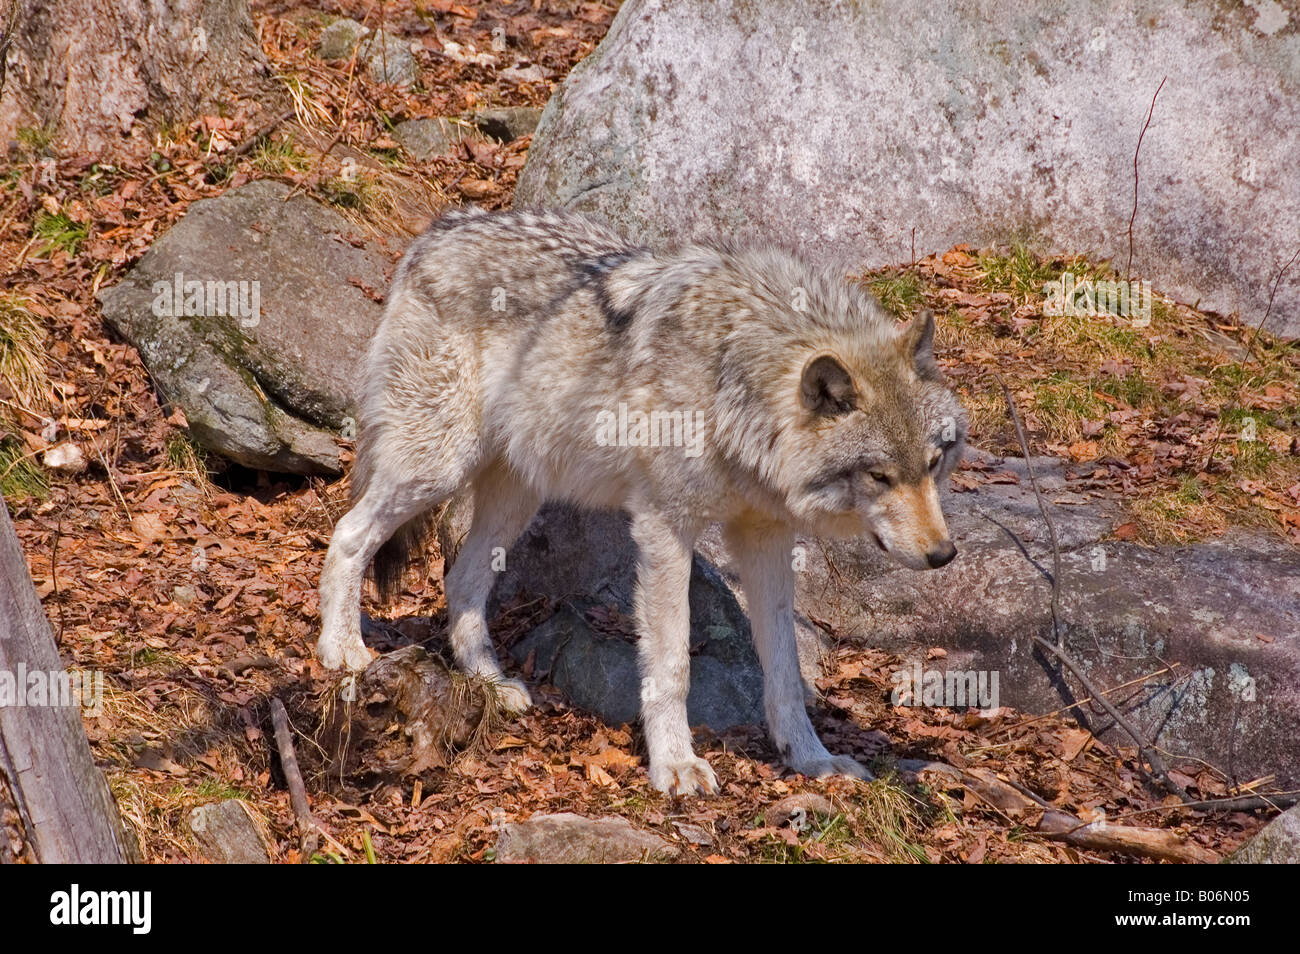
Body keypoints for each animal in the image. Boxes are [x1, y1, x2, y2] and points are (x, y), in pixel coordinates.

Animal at [317, 208, 967, 796]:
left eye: (934, 463)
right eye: (879, 476)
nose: (944, 555)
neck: (734, 378)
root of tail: (433, 233)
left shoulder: (766, 539)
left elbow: (784, 669)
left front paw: (812, 759)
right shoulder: (664, 526)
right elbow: (673, 663)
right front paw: (676, 765)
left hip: (517, 497)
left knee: (460, 578)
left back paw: (491, 685)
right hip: (436, 466)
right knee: (348, 535)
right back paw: (342, 650)